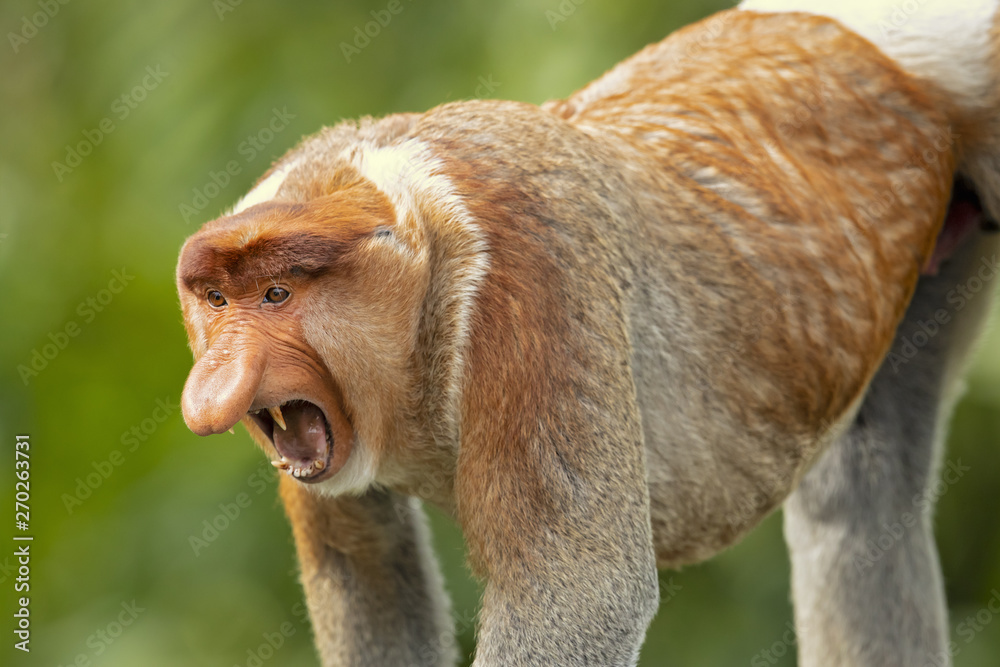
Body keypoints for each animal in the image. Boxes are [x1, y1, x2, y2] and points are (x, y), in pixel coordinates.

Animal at [177, 1, 1000, 665]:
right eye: (216, 298)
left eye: (277, 294)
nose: (208, 389)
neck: (423, 235)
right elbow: (368, 573)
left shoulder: (532, 271)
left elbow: (576, 590)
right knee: (863, 498)